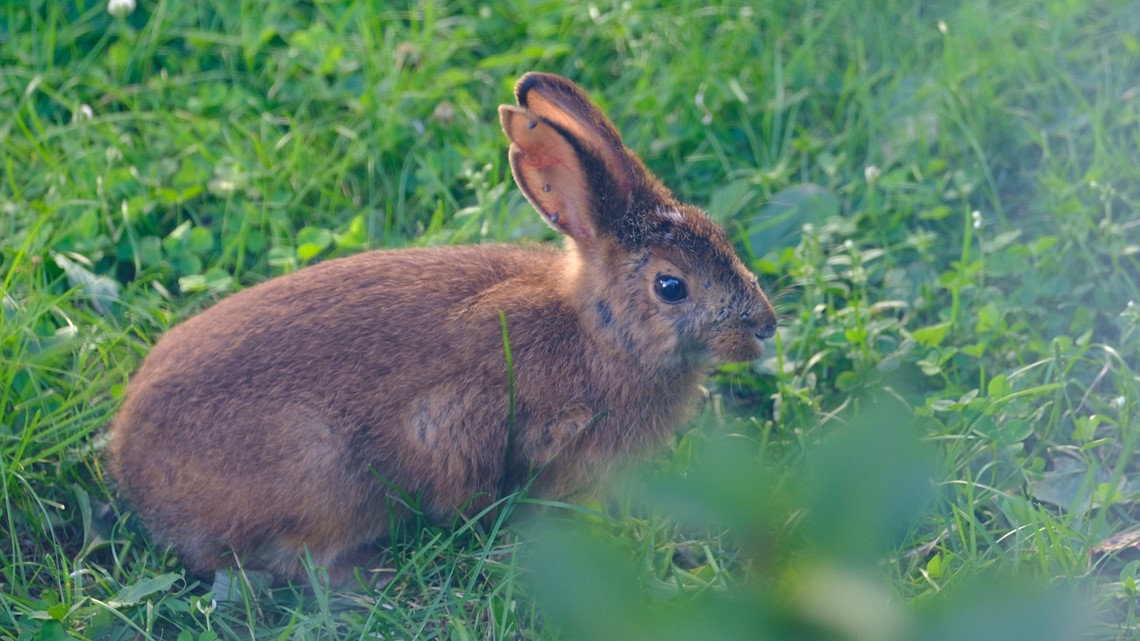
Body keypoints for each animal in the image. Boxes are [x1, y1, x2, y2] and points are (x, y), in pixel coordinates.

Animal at [105, 72, 777, 584]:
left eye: (719, 234)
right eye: (671, 287)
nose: (766, 327)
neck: (598, 331)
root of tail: (136, 479)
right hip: (325, 477)